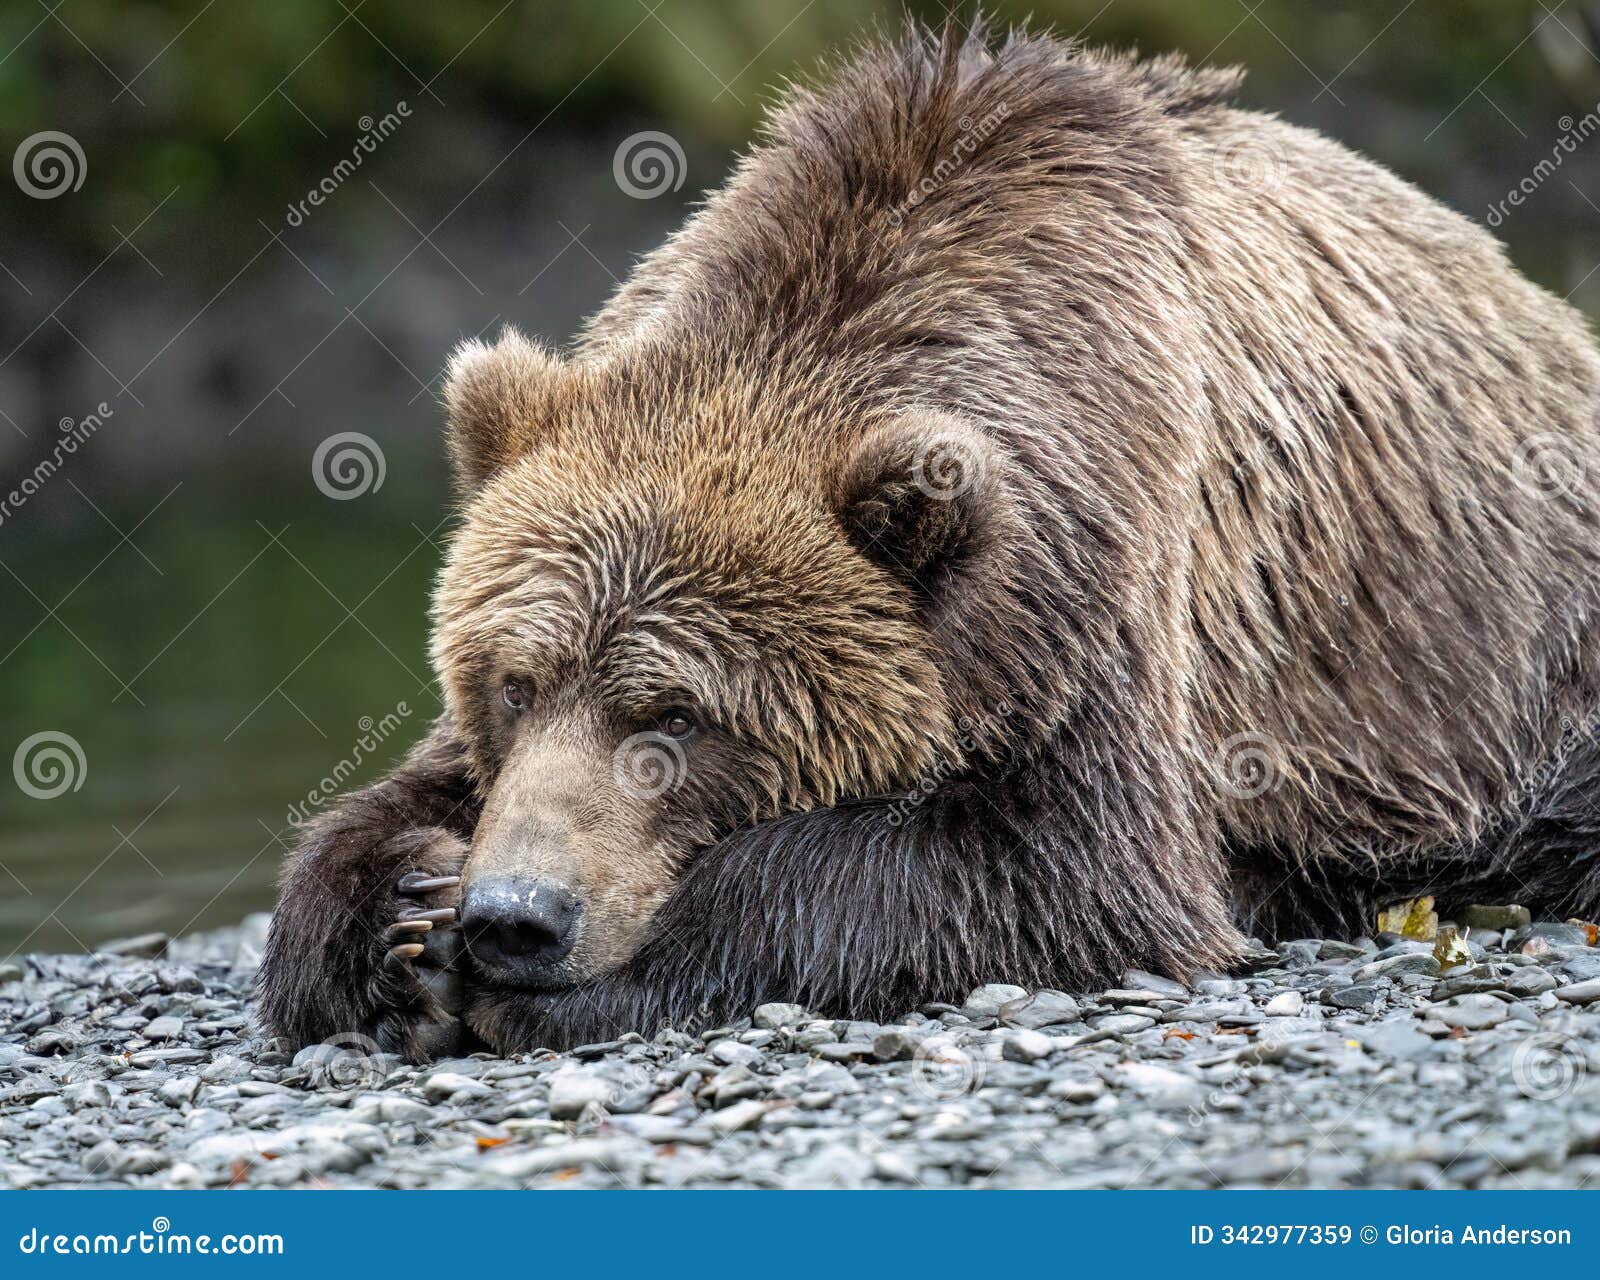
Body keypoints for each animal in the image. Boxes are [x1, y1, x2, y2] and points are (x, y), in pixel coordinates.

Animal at [257, 19, 1600, 1060]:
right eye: (515, 682)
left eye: (679, 714)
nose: (515, 914)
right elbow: (392, 801)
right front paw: (397, 919)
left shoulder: (1104, 579)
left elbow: (1062, 871)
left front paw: (594, 977)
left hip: (1528, 659)